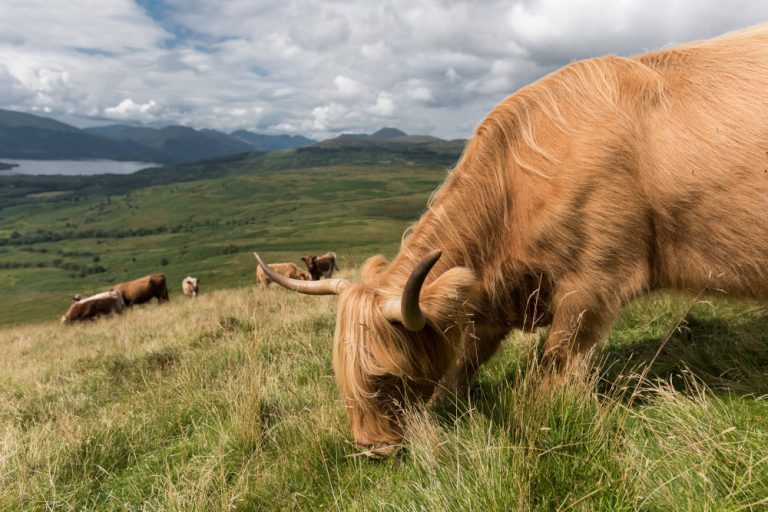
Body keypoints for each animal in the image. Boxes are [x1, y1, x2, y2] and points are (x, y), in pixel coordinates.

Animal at [255, 26, 768, 455]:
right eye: (341, 374)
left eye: (384, 377)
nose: (372, 449)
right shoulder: (492, 301)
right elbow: (465, 361)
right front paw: (446, 405)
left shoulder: (595, 281)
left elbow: (556, 359)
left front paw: (542, 413)